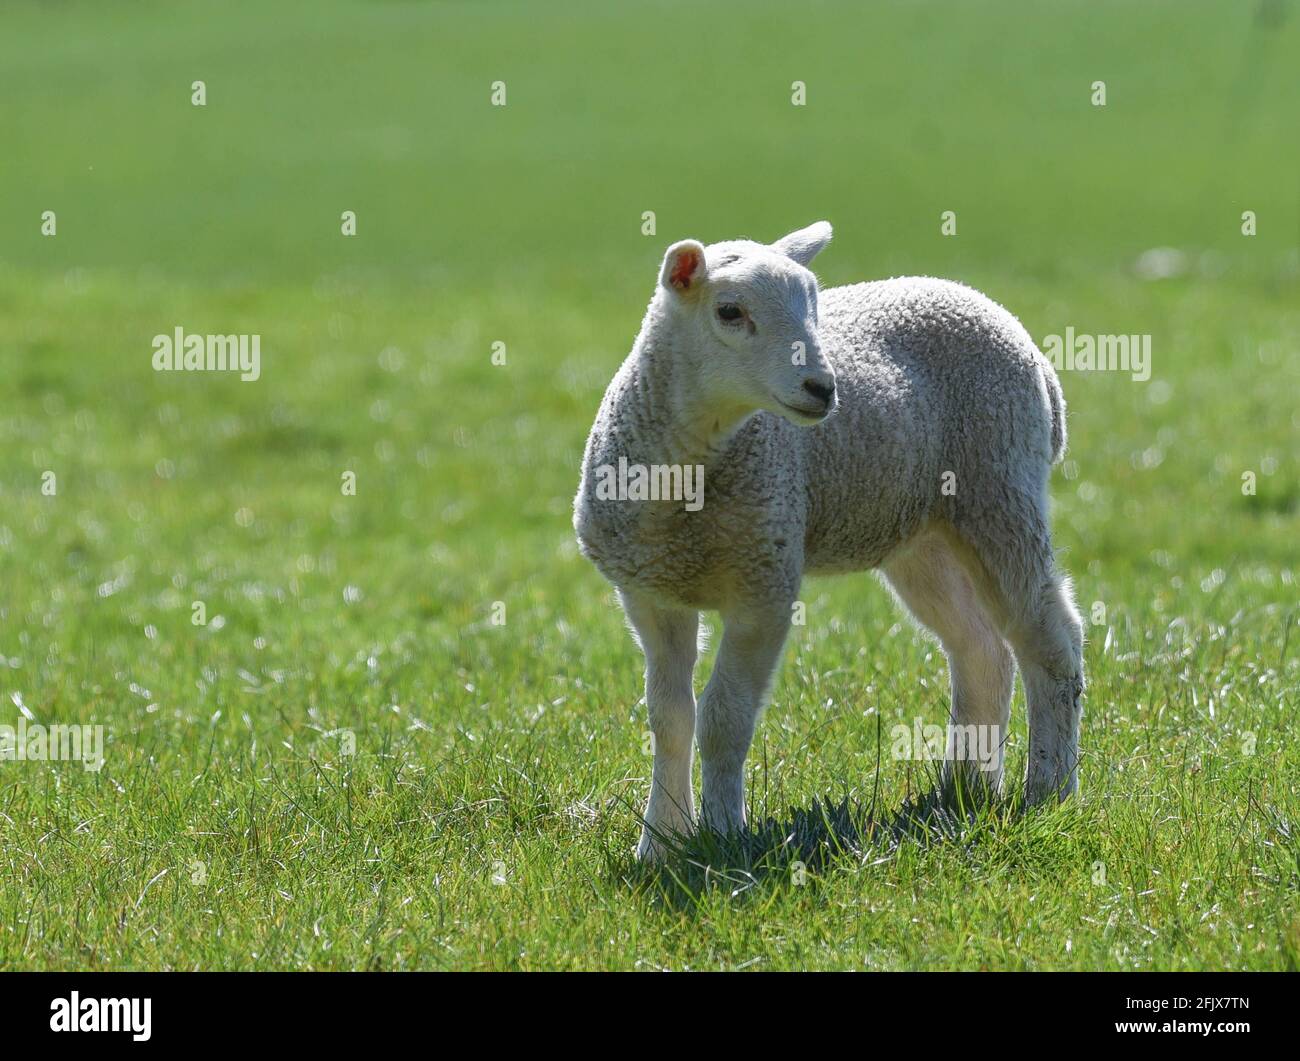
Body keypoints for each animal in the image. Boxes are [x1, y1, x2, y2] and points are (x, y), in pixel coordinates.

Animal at [573, 222, 1084, 861]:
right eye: (729, 311)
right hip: (923, 533)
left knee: (1051, 640)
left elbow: (724, 718)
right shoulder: (651, 593)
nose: (823, 387)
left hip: (1000, 488)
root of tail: (1034, 355)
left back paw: (1049, 789)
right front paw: (662, 841)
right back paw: (965, 788)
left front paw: (722, 835)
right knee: (980, 650)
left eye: (814, 304)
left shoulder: (764, 586)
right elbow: (669, 719)